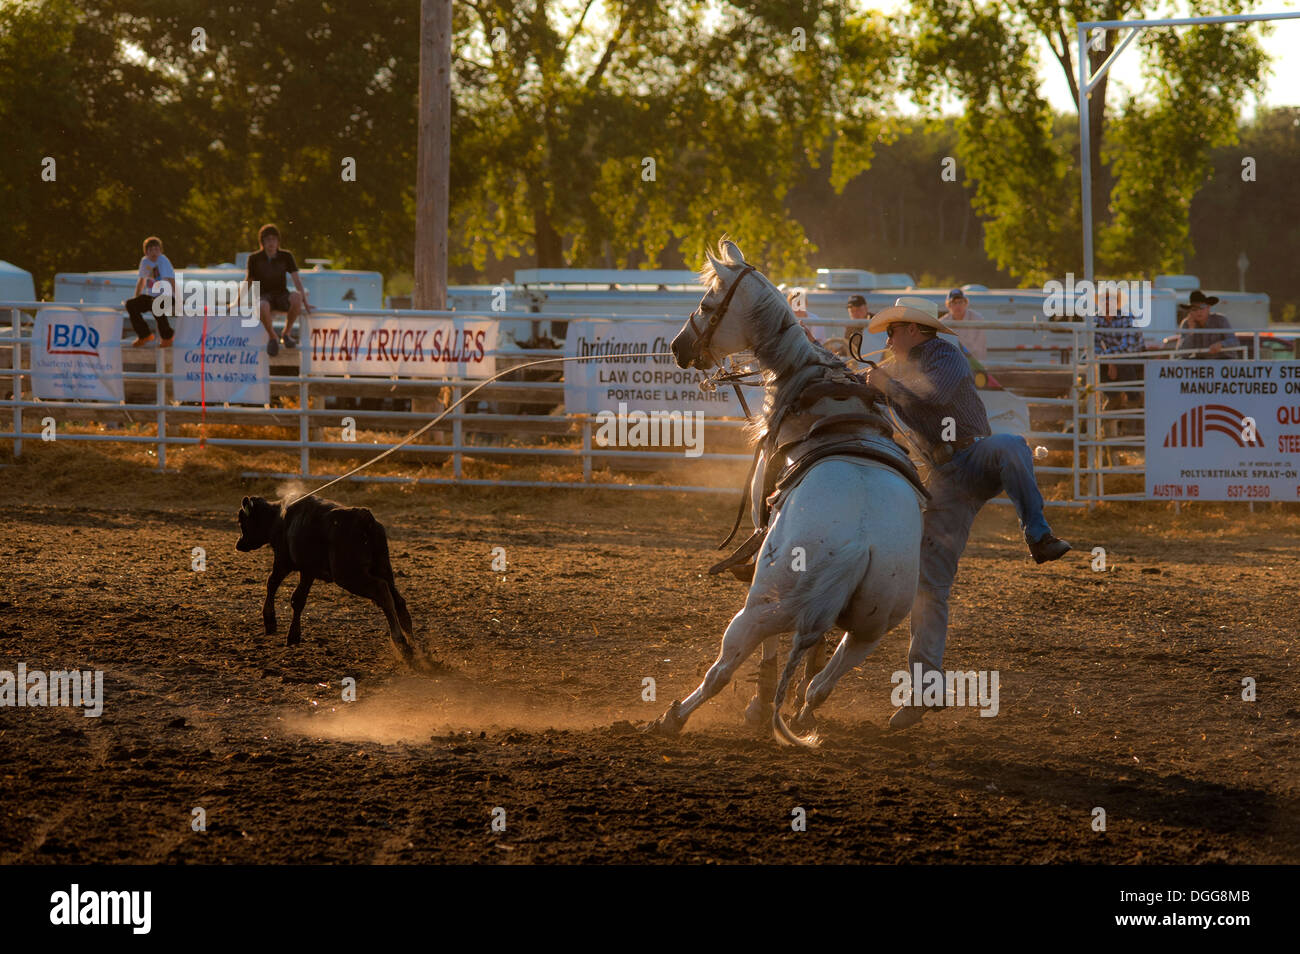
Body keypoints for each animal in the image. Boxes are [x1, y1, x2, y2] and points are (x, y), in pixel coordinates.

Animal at [235, 494, 421, 666]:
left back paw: (401, 643)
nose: (239, 544)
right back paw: (415, 648)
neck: (278, 517)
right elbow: (298, 600)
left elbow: (272, 583)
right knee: (398, 601)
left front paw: (270, 622)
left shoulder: (283, 561)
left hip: (349, 576)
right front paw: (294, 635)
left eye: (242, 522)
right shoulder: (308, 571)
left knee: (381, 591)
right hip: (384, 570)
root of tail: (364, 517)